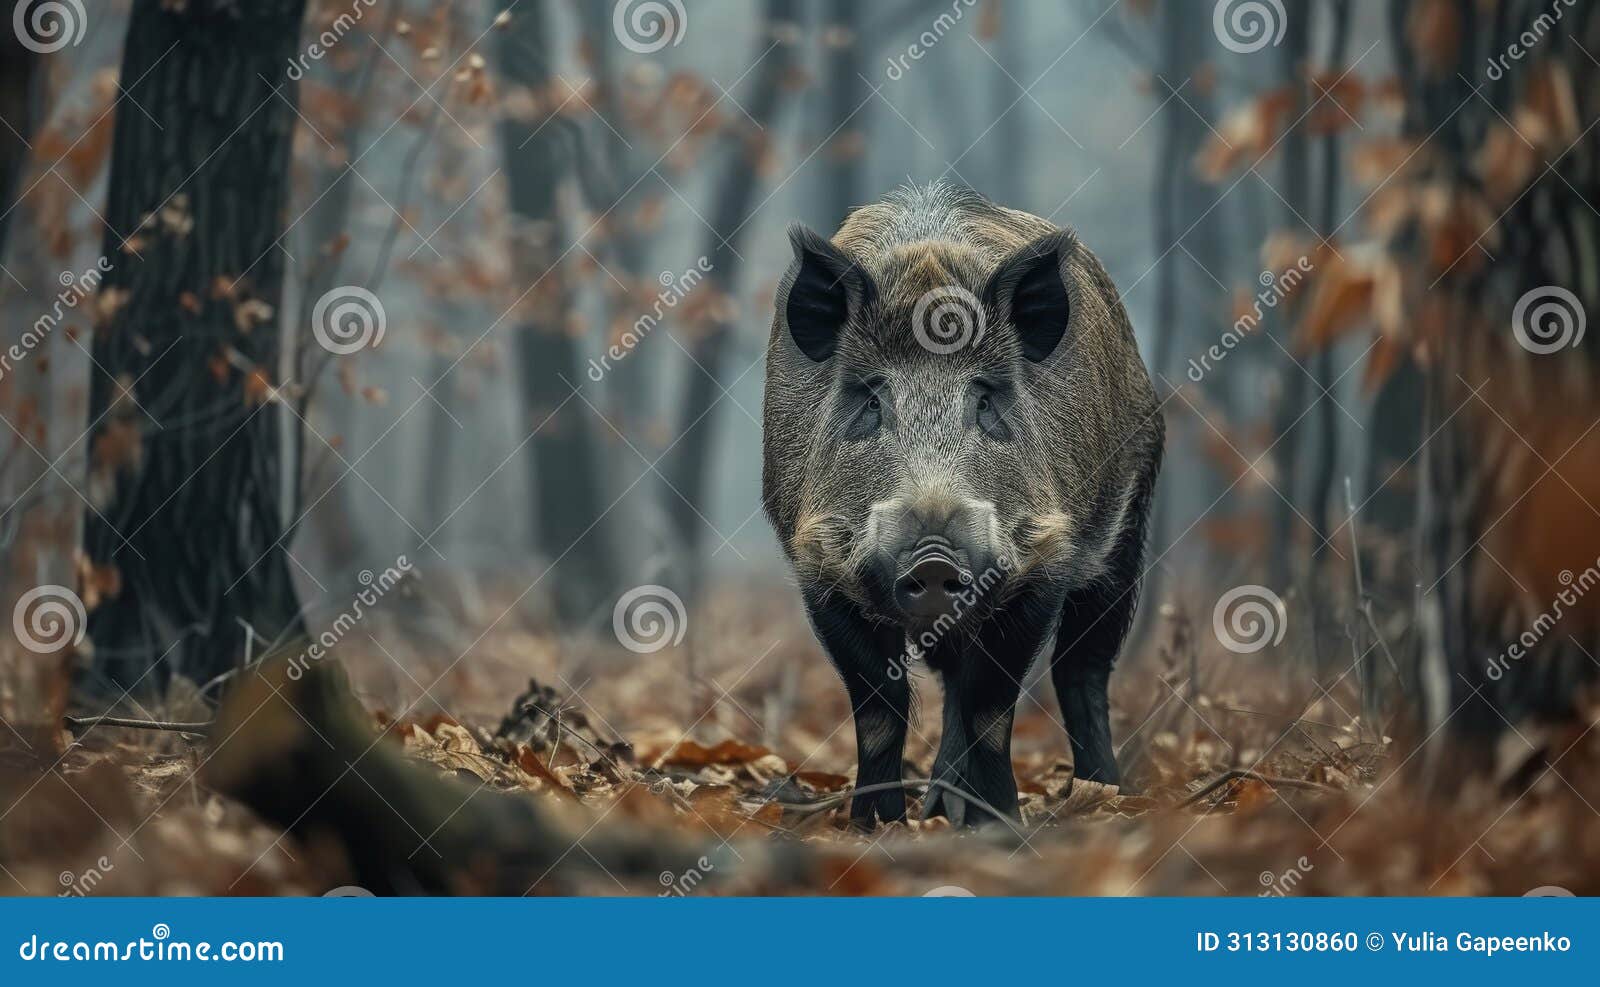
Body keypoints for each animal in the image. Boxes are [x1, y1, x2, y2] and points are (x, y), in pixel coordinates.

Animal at [762, 182, 1163, 827]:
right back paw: (938, 808)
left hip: (1125, 535)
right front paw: (877, 824)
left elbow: (990, 707)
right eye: (871, 400)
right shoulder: (818, 567)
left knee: (1082, 669)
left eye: (986, 400)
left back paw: (1103, 796)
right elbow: (879, 708)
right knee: (955, 679)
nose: (934, 558)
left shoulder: (1042, 561)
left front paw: (997, 825)